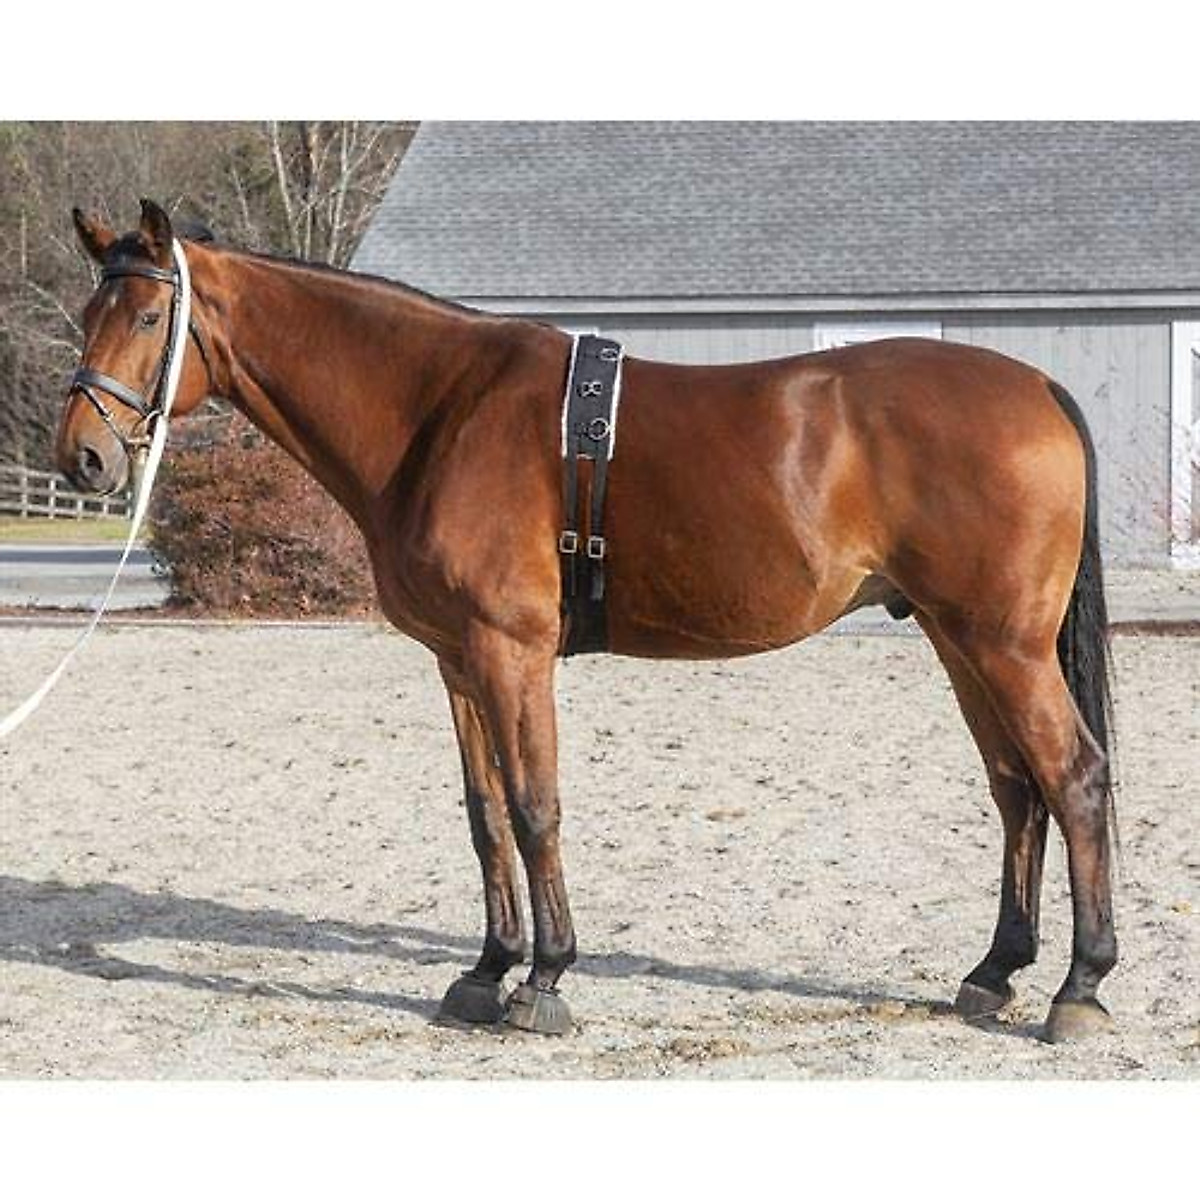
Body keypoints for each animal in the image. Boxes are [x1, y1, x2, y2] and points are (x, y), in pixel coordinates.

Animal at [55, 200, 1118, 1043]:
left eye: (150, 314)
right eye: (88, 314)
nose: (84, 460)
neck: (440, 411)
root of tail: (1038, 388)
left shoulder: (511, 652)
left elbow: (535, 807)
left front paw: (546, 979)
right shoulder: (457, 661)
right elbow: (485, 814)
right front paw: (485, 972)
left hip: (1005, 644)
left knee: (1073, 778)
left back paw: (1079, 988)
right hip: (957, 639)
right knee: (1016, 787)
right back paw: (993, 974)